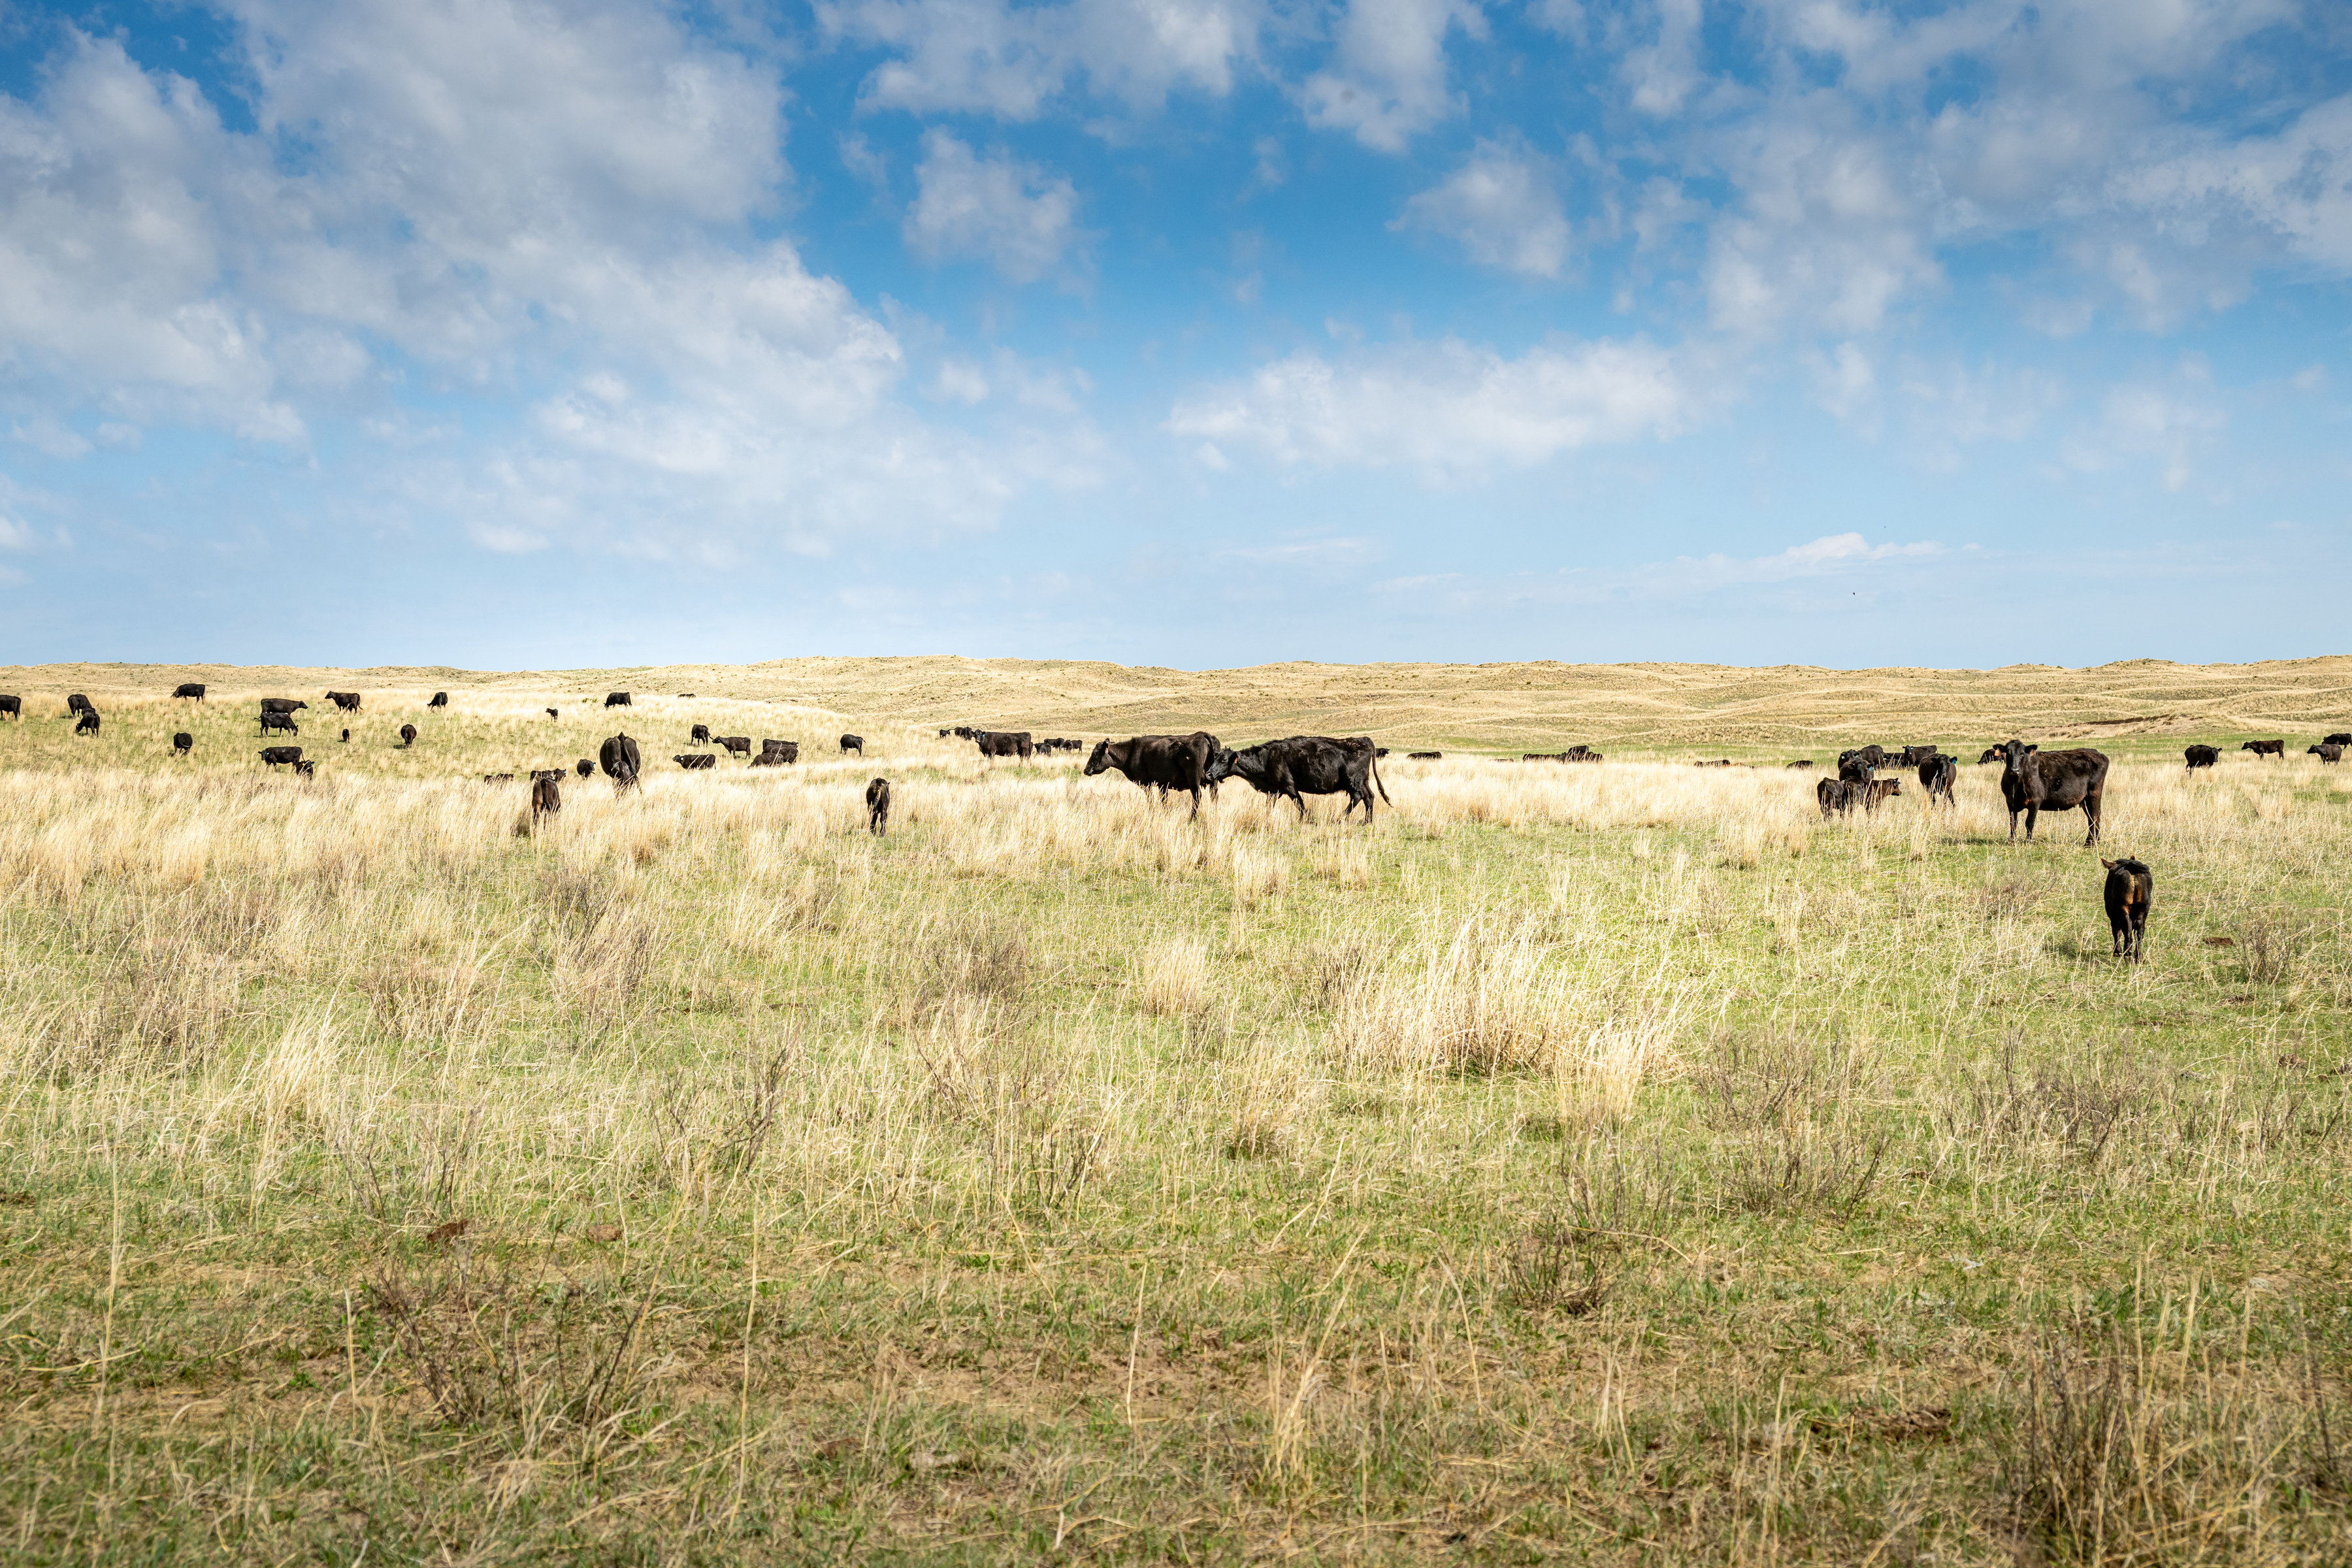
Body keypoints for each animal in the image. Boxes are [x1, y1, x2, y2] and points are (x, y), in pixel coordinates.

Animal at [1086, 733, 1220, 819]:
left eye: (1095, 754)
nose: (1086, 770)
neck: (1131, 752)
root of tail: (1202, 735)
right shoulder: (1163, 785)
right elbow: (1164, 801)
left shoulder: (1146, 784)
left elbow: (1151, 800)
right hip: (1213, 782)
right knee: (1214, 796)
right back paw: (1214, 814)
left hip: (1194, 780)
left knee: (1197, 796)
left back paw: (1191, 819)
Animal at [1206, 736, 1390, 824]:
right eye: (1215, 758)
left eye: (1223, 760)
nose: (1208, 774)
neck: (1266, 758)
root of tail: (1363, 741)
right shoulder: (1274, 791)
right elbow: (1269, 806)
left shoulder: (1290, 789)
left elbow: (1300, 805)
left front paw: (1308, 820)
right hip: (1362, 782)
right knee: (1368, 797)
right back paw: (1367, 821)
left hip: (1354, 782)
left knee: (1360, 797)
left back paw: (1341, 819)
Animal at [1998, 739, 2108, 845]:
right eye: (2008, 754)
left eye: (2022, 754)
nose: (2015, 770)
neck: (2016, 784)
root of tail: (2096, 752)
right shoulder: (2010, 802)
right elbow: (2013, 823)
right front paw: (2012, 842)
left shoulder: (2035, 801)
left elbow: (2029, 823)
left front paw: (2028, 842)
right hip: (2085, 800)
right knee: (2093, 818)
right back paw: (2093, 842)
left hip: (2093, 794)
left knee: (2094, 817)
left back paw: (2091, 843)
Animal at [2102, 858, 2153, 964]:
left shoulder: (2112, 914)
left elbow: (2116, 931)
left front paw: (2117, 952)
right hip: (2144, 907)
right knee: (2139, 931)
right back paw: (2138, 957)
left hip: (2122, 908)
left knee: (2127, 931)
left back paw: (2127, 956)